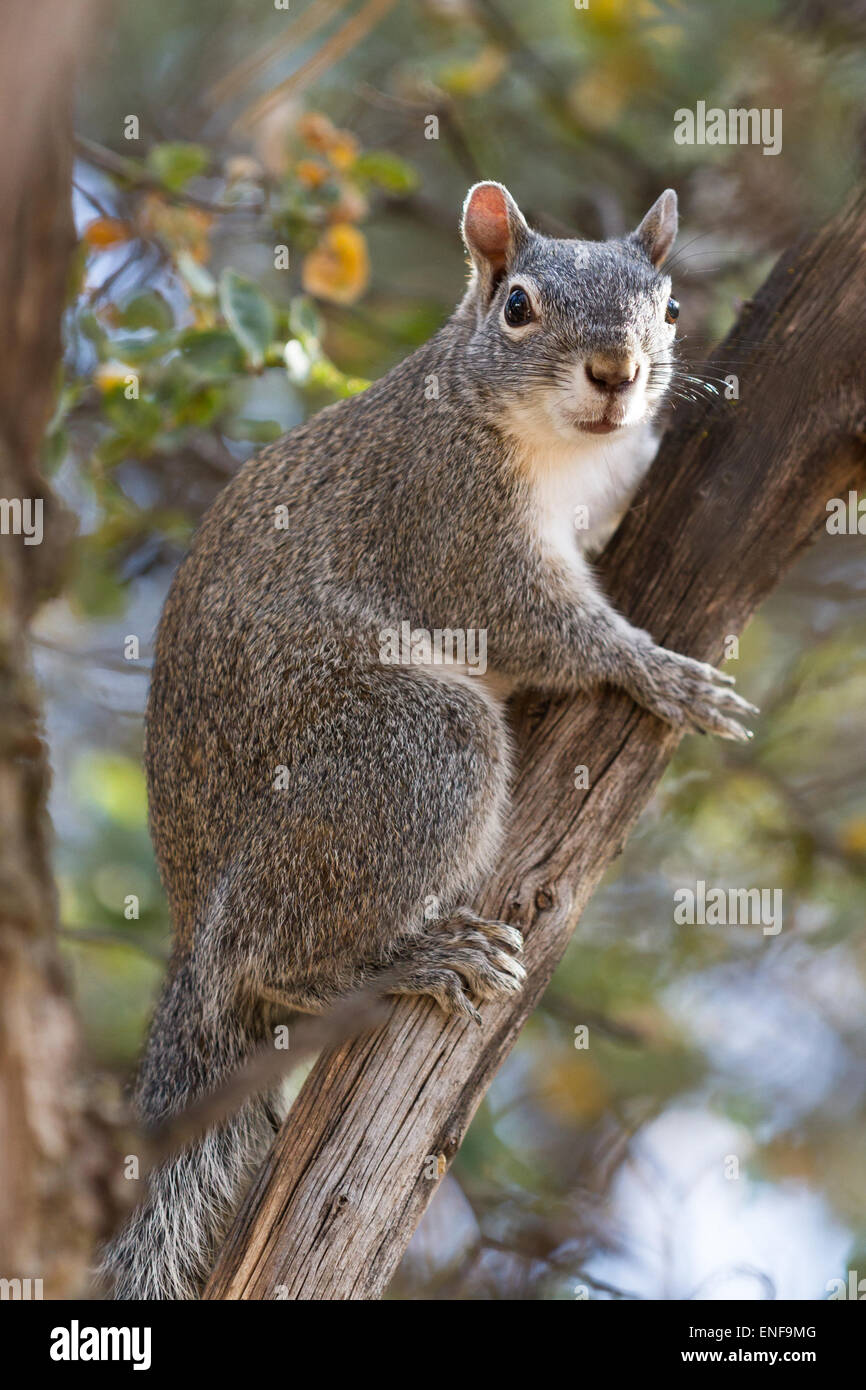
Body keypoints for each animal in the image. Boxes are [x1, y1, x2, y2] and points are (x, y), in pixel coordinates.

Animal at [100, 181, 757, 1299]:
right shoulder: (448, 525)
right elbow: (536, 625)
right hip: (408, 748)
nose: (617, 374)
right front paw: (655, 669)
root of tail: (190, 912)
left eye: (668, 308)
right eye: (519, 307)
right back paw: (405, 957)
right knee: (266, 958)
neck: (557, 447)